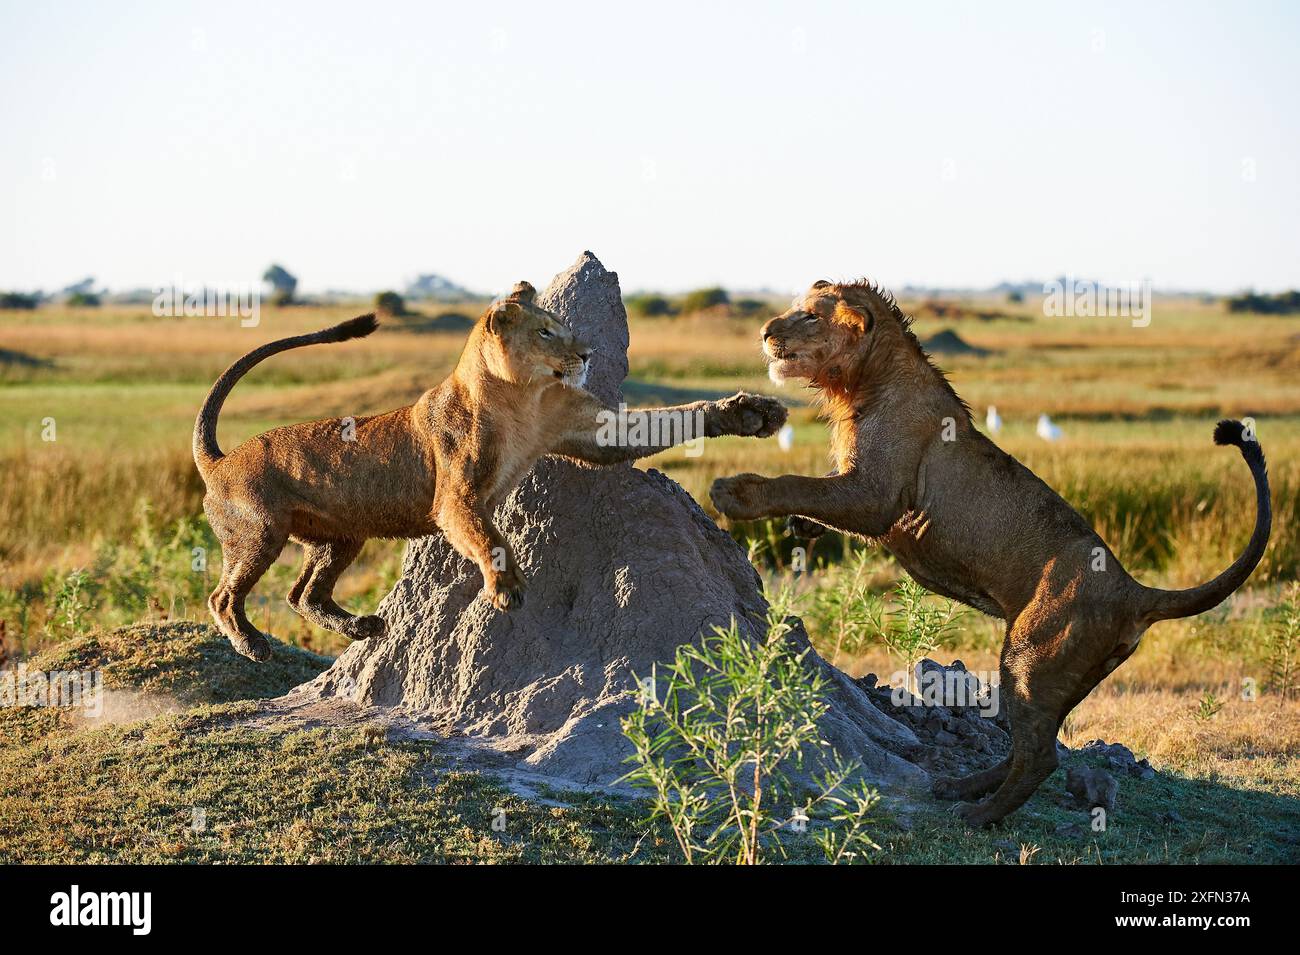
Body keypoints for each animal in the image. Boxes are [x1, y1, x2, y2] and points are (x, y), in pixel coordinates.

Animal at [195, 281, 786, 662]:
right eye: (546, 333)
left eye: (564, 328)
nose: (588, 354)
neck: (520, 396)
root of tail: (218, 458)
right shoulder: (454, 497)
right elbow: (488, 534)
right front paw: (506, 587)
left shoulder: (587, 431)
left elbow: (669, 420)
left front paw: (750, 412)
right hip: (261, 533)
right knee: (223, 596)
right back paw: (253, 645)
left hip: (341, 536)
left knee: (303, 595)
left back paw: (362, 625)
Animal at [709, 279, 1271, 826]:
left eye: (809, 315)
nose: (764, 332)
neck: (865, 381)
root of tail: (1134, 590)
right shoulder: (863, 491)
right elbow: (818, 492)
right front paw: (800, 524)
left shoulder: (876, 495)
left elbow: (800, 483)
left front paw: (736, 492)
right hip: (1068, 675)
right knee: (1033, 744)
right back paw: (961, 786)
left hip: (1031, 655)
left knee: (1041, 754)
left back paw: (977, 813)